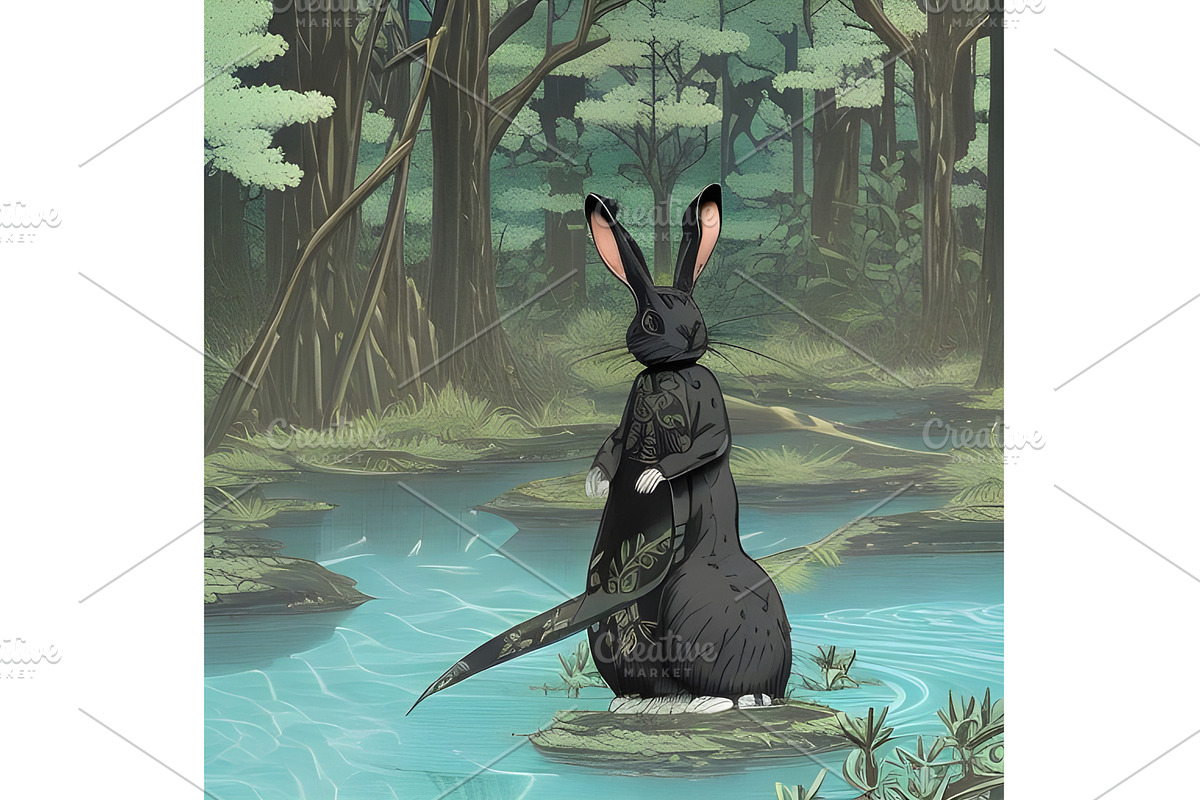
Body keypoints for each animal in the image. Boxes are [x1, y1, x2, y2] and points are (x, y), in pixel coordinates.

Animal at [408, 184, 791, 716]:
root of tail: (776, 683)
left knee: (730, 693)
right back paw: (641, 704)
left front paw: (651, 477)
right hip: (610, 633)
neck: (667, 371)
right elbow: (613, 443)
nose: (692, 333)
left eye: (694, 311)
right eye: (651, 319)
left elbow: (711, 441)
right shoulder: (628, 418)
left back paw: (709, 702)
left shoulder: (709, 405)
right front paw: (597, 483)